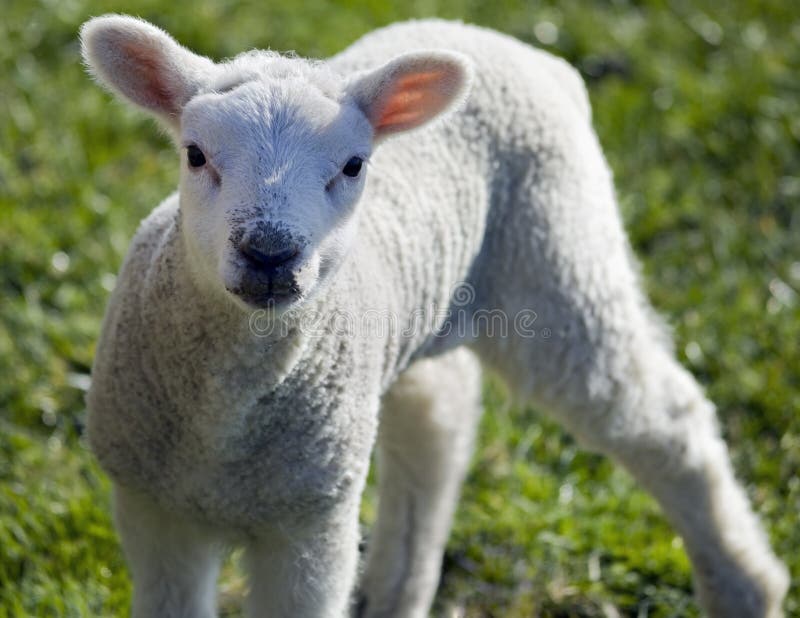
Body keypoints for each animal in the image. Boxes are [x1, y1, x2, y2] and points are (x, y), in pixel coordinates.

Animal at [80, 14, 789, 618]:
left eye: (354, 165)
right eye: (195, 154)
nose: (269, 253)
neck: (225, 430)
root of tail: (519, 47)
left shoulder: (312, 524)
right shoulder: (153, 508)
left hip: (560, 263)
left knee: (667, 417)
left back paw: (745, 588)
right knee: (440, 418)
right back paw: (399, 589)